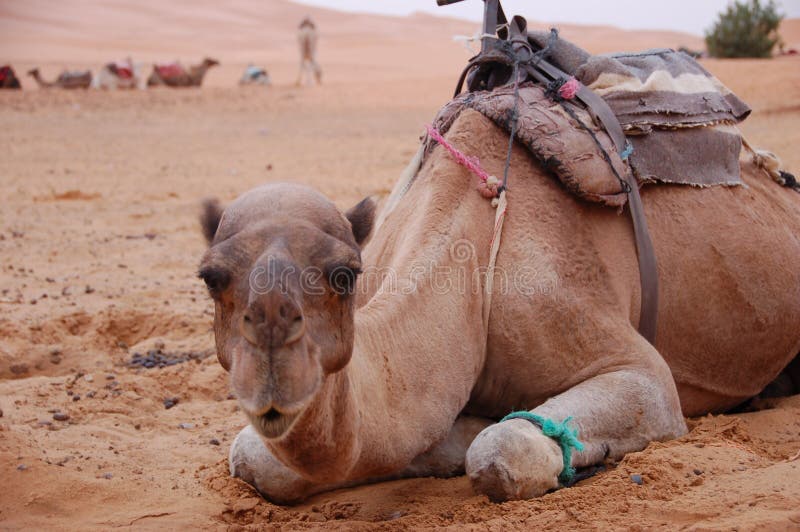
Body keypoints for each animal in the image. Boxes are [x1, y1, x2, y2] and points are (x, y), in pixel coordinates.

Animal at [198, 106, 800, 504]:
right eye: (211, 277)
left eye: (344, 273)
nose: (272, 339)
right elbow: (252, 456)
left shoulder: (631, 365)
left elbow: (501, 445)